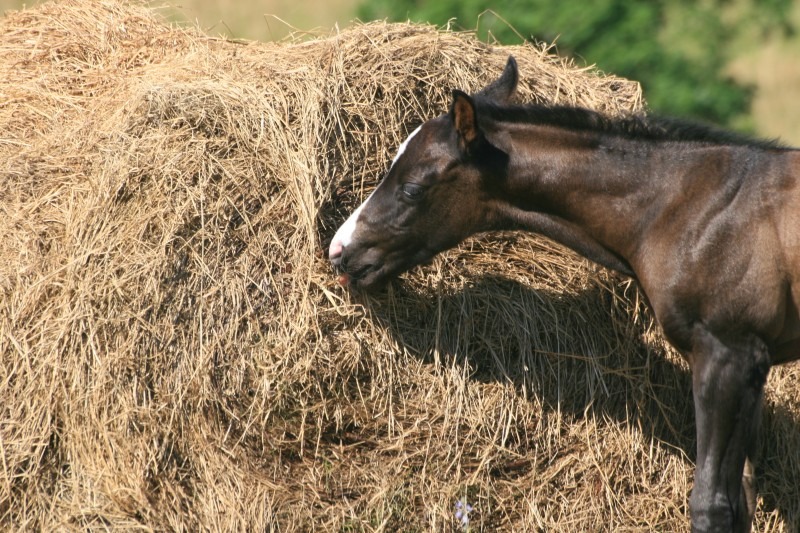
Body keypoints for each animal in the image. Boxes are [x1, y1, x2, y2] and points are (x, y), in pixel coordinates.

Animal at [330, 56, 800, 528]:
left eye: (412, 188)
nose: (339, 250)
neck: (683, 206)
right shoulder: (753, 368)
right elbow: (741, 500)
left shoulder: (726, 353)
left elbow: (711, 505)